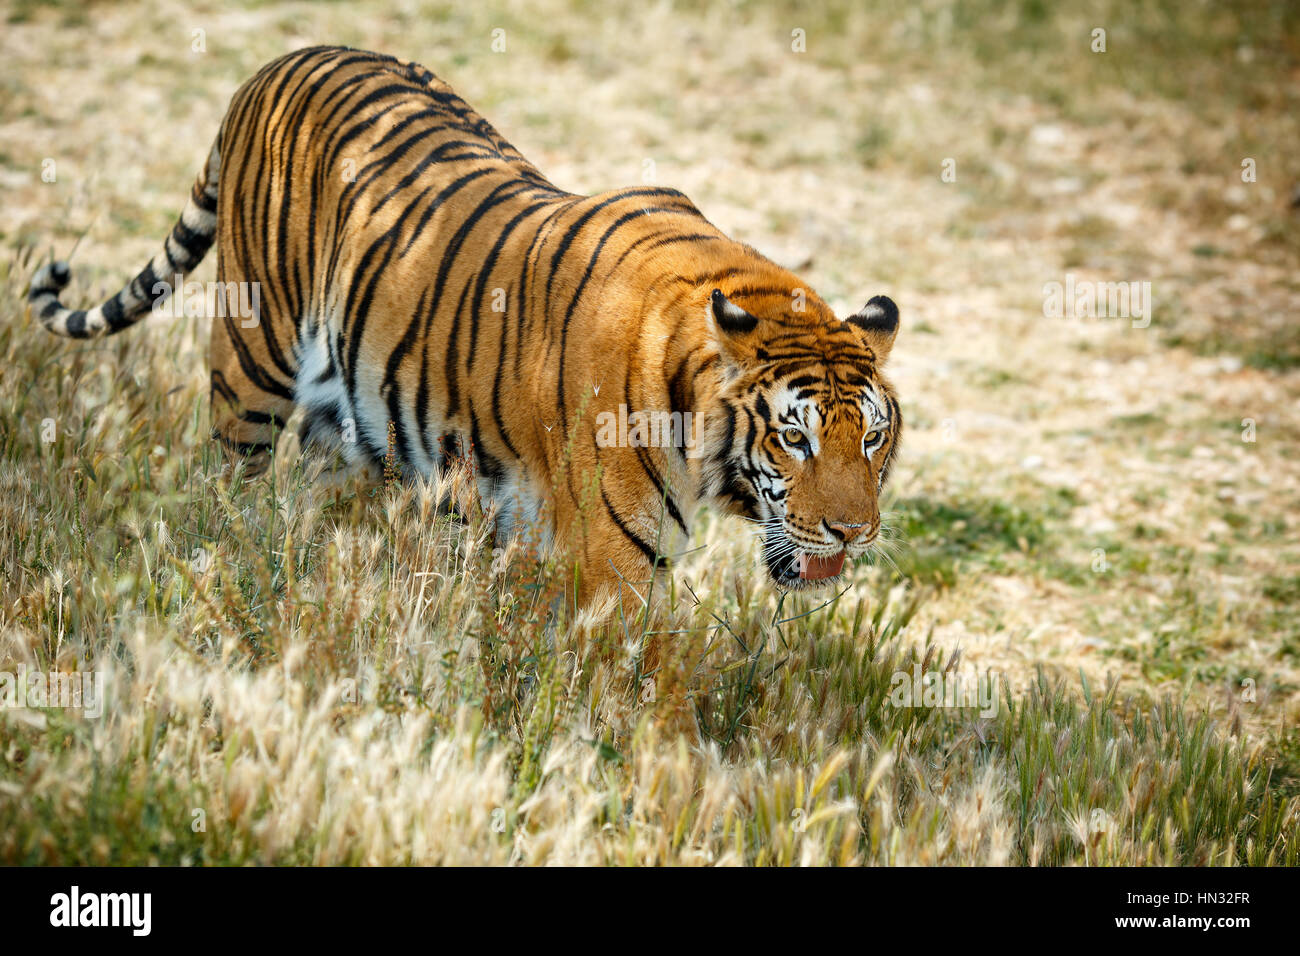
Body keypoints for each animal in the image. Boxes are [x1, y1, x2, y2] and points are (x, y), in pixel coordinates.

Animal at [27, 45, 902, 610]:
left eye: (871, 439)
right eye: (793, 439)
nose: (854, 533)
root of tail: (277, 62)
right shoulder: (616, 564)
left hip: (347, 418)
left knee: (322, 505)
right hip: (251, 358)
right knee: (228, 484)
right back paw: (229, 569)